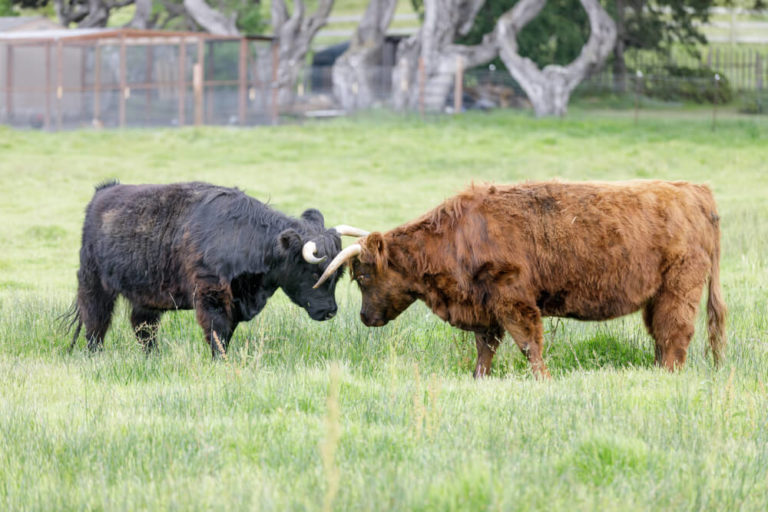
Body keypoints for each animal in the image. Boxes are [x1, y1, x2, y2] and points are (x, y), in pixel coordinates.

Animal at [66, 181, 367, 356]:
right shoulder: (211, 294)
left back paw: (153, 356)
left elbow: (227, 332)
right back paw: (95, 355)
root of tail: (104, 190)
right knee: (96, 321)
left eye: (339, 275)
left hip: (146, 294)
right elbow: (217, 331)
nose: (330, 311)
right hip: (94, 283)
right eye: (315, 273)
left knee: (143, 327)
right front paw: (219, 360)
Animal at [314, 180, 727, 378]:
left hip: (680, 288)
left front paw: (543, 379)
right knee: (661, 334)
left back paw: (667, 376)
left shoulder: (513, 299)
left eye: (363, 275)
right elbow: (485, 348)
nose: (365, 318)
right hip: (657, 295)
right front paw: (479, 378)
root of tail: (694, 191)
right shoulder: (485, 309)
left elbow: (529, 344)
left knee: (675, 334)